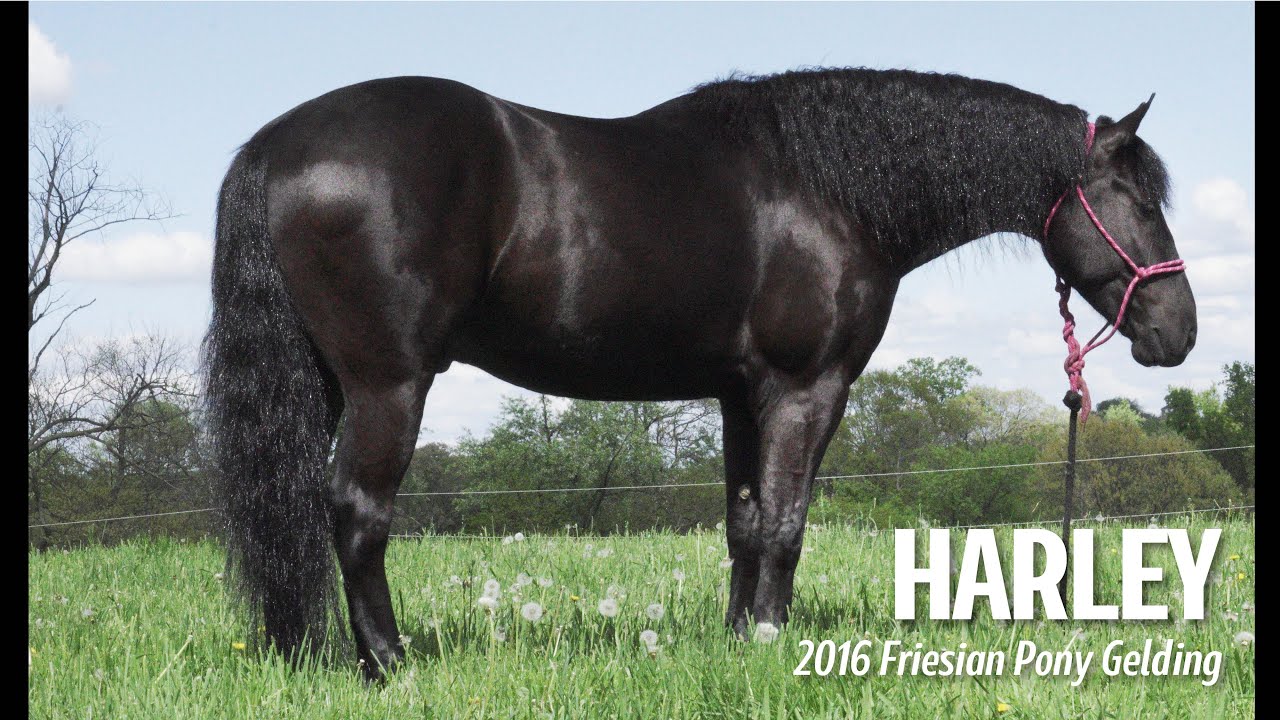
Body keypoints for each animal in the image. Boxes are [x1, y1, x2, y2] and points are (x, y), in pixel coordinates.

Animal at [202, 67, 1197, 679]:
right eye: (1139, 200)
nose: (1178, 331)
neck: (828, 188)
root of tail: (276, 146)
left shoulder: (738, 395)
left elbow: (746, 526)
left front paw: (735, 641)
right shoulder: (807, 387)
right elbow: (788, 523)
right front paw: (772, 641)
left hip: (327, 381)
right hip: (388, 382)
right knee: (359, 514)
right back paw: (391, 666)